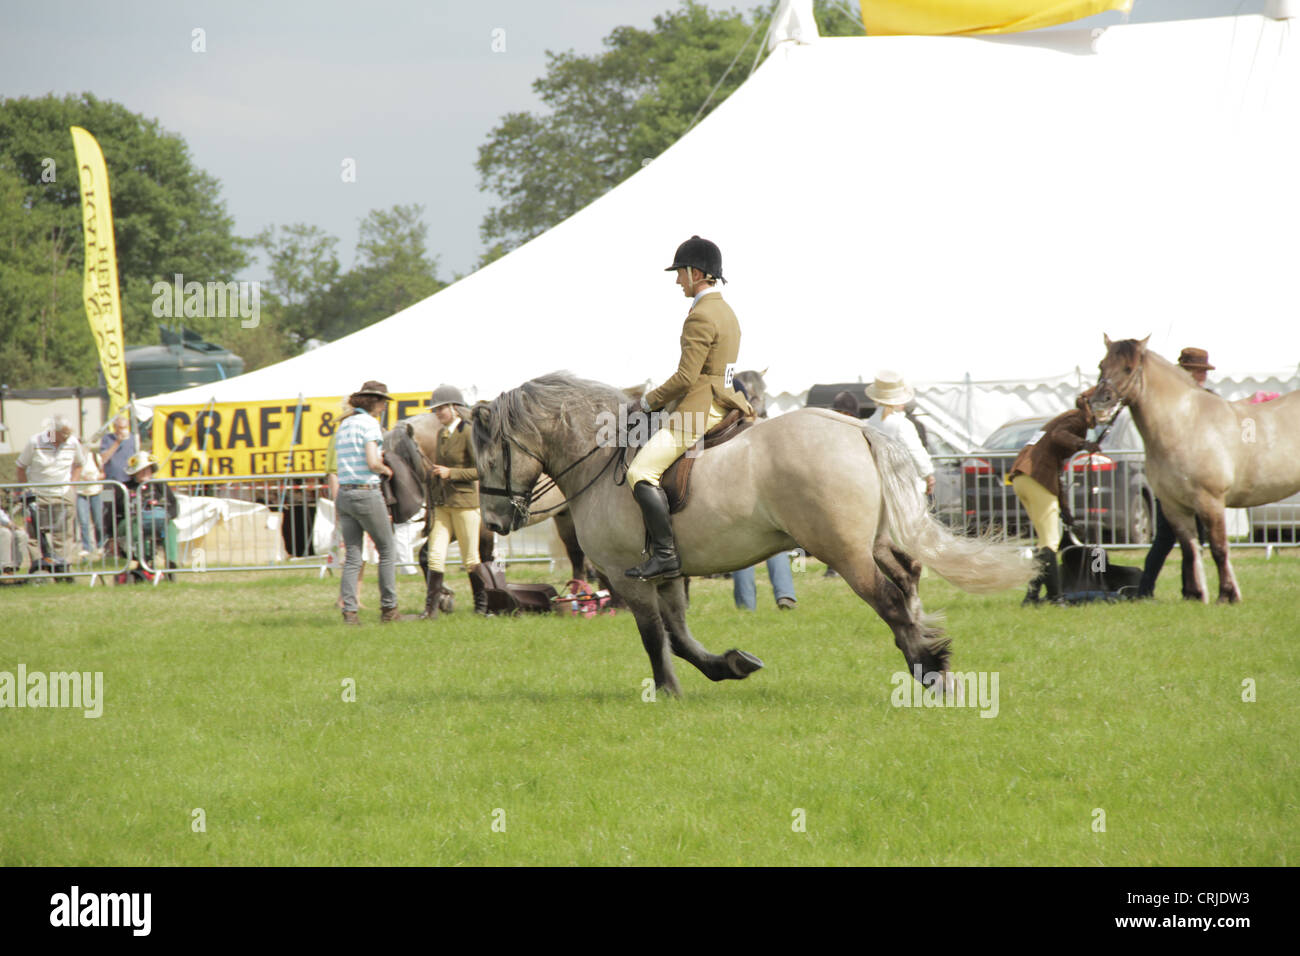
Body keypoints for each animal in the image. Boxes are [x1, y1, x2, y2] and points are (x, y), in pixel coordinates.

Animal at [470, 372, 1032, 697]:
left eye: (488, 458)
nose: (494, 523)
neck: (600, 455)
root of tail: (856, 428)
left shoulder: (628, 577)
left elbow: (656, 637)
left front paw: (667, 691)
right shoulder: (665, 572)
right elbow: (680, 636)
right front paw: (731, 665)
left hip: (843, 552)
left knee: (891, 599)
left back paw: (930, 670)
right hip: (868, 543)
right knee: (909, 578)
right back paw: (930, 654)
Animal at [1092, 335, 1300, 603]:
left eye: (1128, 368)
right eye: (1101, 365)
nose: (1099, 402)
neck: (1185, 423)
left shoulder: (1211, 502)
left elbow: (1219, 549)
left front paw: (1227, 596)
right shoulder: (1174, 506)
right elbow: (1190, 549)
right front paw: (1196, 595)